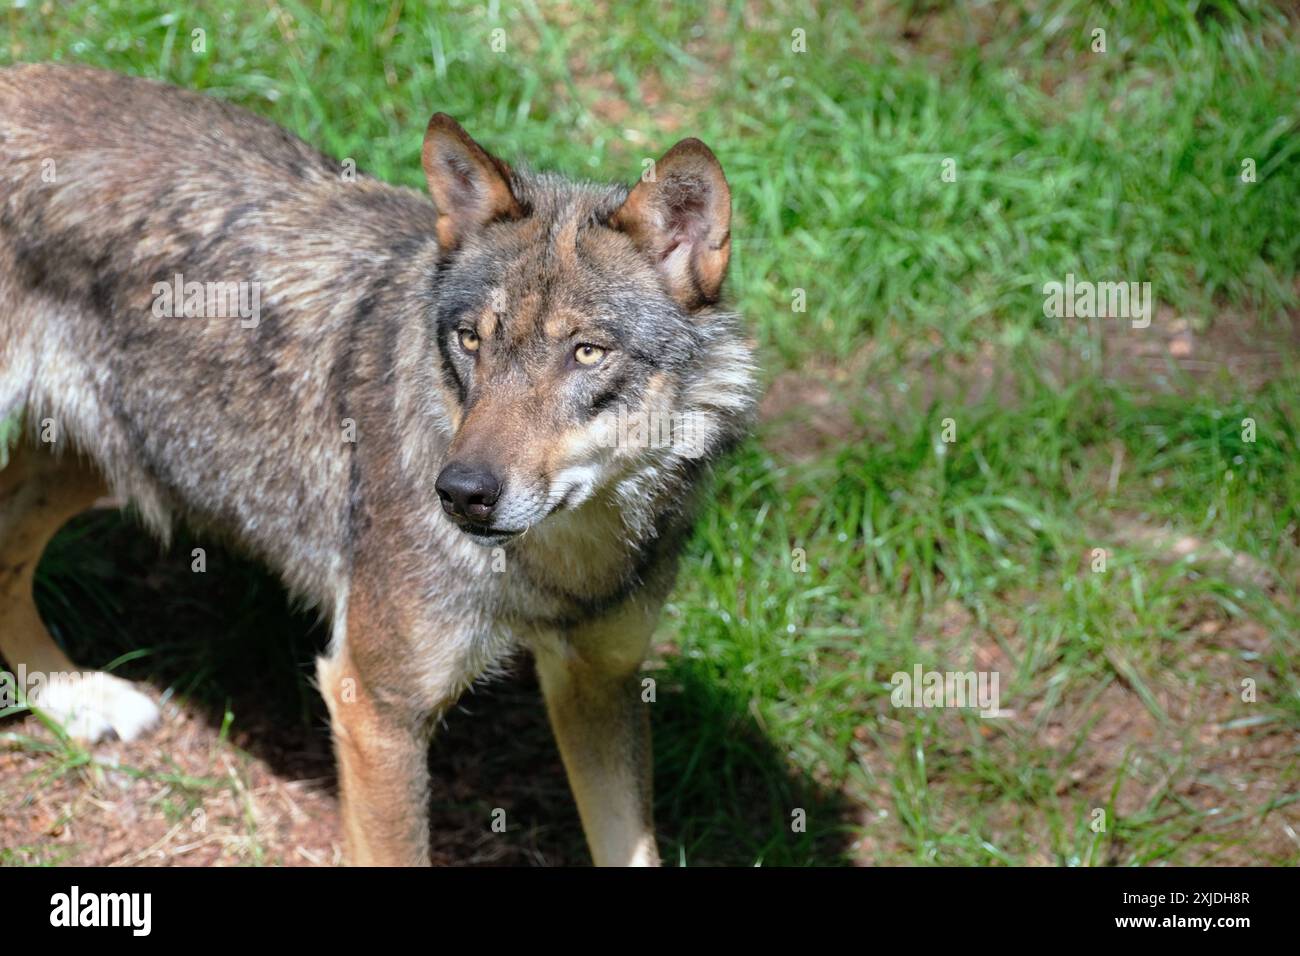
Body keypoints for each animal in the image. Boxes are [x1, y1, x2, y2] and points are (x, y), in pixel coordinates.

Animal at [0, 64, 756, 866]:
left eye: (586, 352)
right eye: (470, 340)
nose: (460, 493)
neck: (561, 566)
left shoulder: (600, 681)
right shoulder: (374, 708)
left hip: (99, 452)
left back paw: (73, 699)